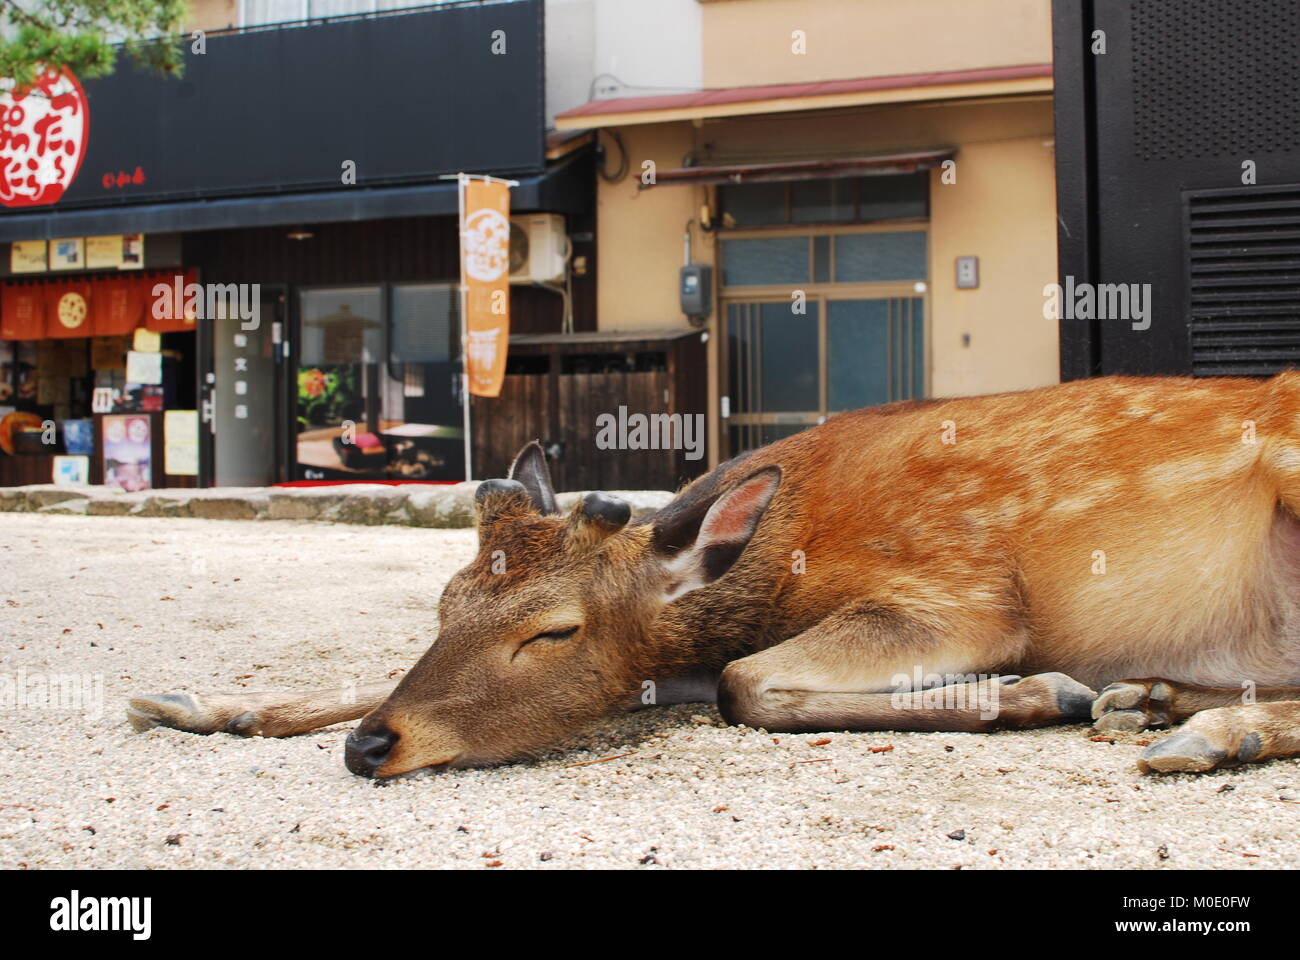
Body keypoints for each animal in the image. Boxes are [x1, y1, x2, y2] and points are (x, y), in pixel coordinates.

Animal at [128, 373, 1300, 779]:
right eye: (445, 602)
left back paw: (1205, 730)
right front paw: (201, 703)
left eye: (553, 631)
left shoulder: (962, 594)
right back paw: (1153, 698)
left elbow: (746, 684)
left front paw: (1032, 691)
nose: (374, 749)